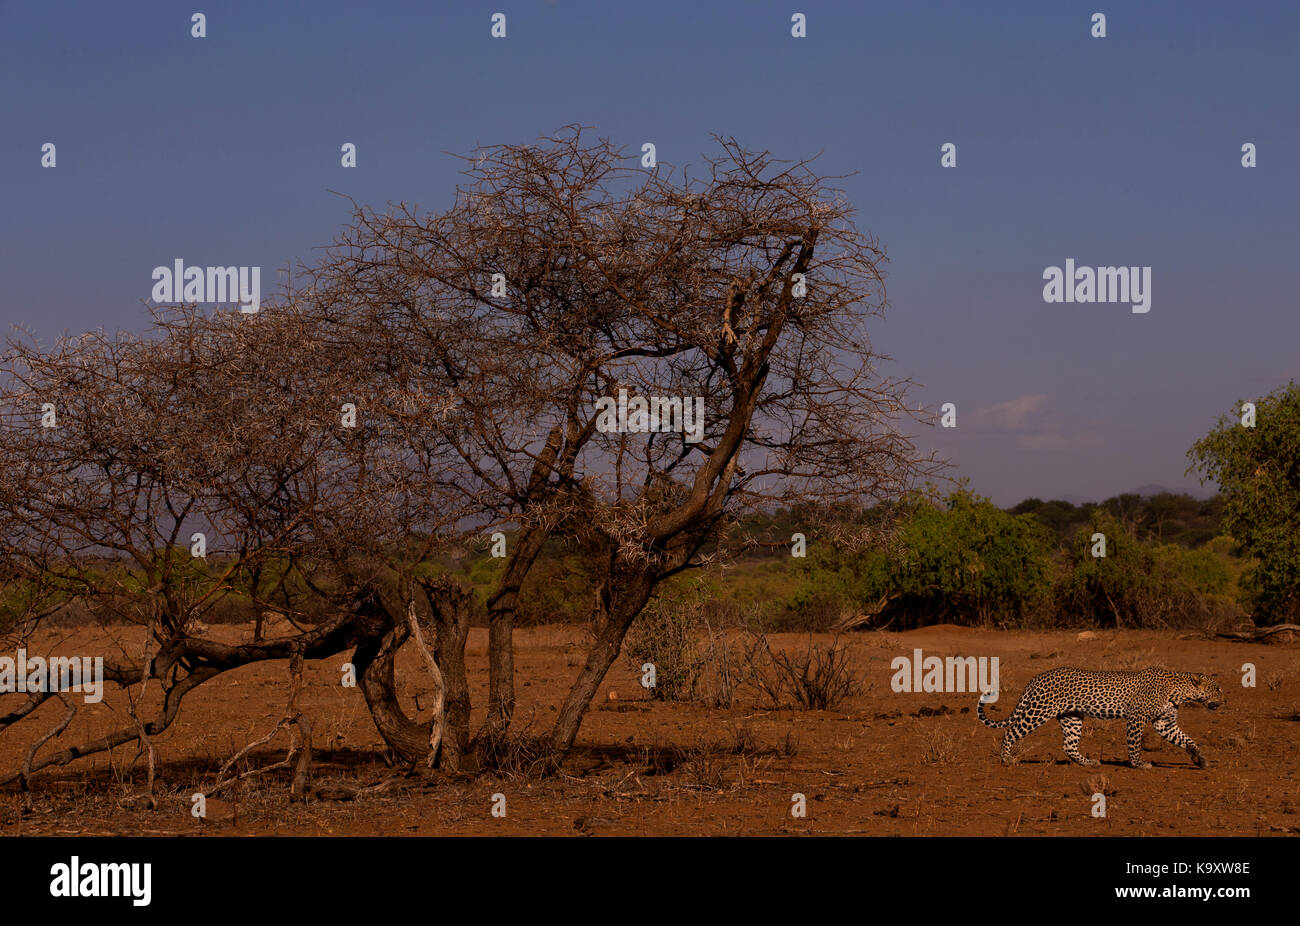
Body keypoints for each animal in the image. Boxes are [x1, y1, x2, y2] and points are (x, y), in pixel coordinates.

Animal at [977, 666, 1224, 768]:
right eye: (1217, 689)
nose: (1226, 700)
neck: (1179, 692)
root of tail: (1037, 677)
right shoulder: (1137, 717)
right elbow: (1134, 744)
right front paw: (1138, 764)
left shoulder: (1165, 723)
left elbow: (1187, 740)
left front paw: (1199, 759)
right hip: (1038, 711)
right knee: (1011, 731)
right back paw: (1006, 760)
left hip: (1072, 717)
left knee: (1069, 746)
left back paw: (1088, 763)